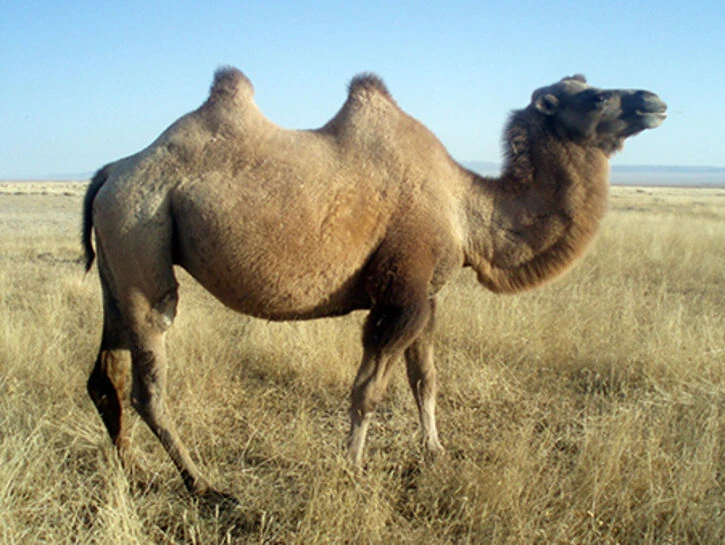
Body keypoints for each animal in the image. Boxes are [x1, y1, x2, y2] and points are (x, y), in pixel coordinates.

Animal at [82, 68, 666, 499]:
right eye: (594, 97)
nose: (654, 100)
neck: (466, 209)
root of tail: (112, 171)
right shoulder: (399, 296)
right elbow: (367, 391)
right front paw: (352, 468)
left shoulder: (427, 297)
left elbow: (425, 379)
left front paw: (435, 452)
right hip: (141, 235)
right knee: (149, 380)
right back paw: (203, 484)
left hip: (120, 259)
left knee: (106, 374)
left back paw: (134, 474)